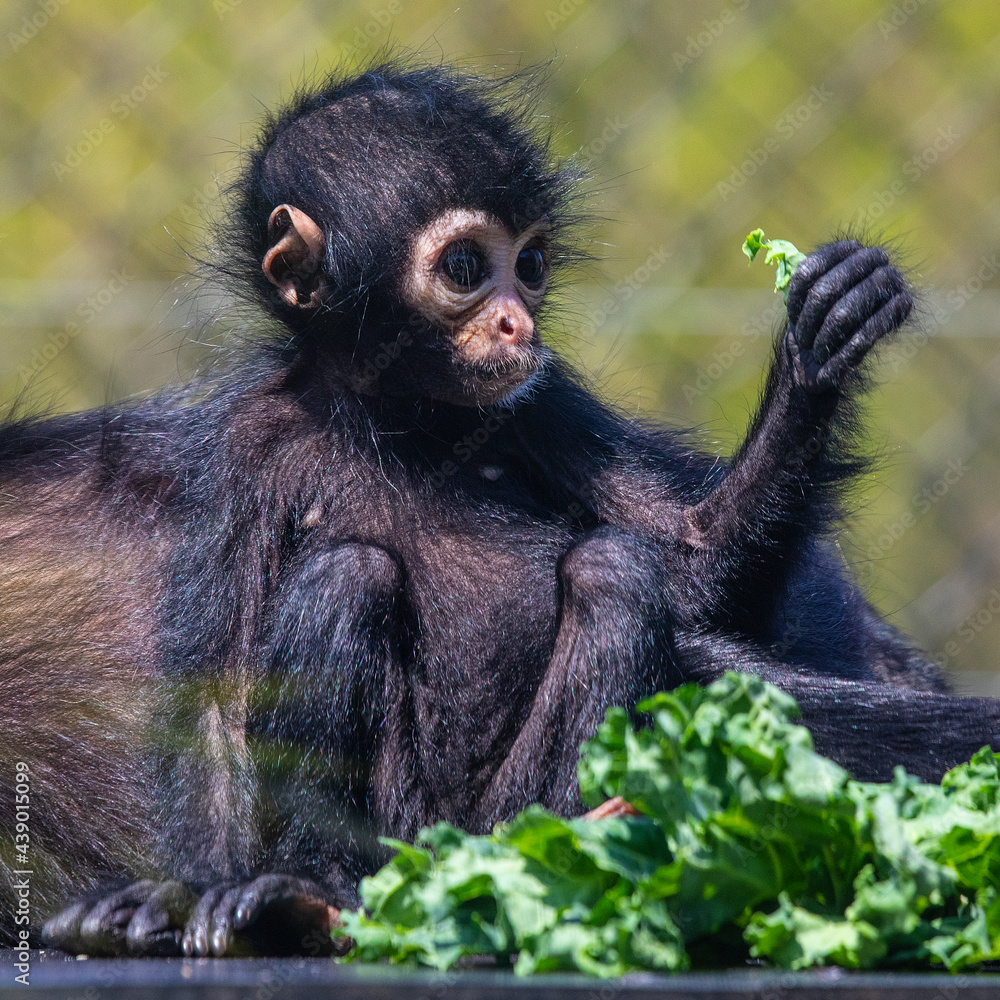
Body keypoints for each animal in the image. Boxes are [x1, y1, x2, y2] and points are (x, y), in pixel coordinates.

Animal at [2, 61, 999, 960]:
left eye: (534, 264)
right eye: (465, 267)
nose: (520, 323)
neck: (402, 417)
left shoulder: (540, 395)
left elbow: (695, 567)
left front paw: (817, 356)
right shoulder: (244, 445)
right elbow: (212, 700)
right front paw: (180, 892)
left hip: (512, 797)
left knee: (611, 571)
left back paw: (574, 846)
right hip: (396, 820)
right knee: (347, 572)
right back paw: (307, 892)